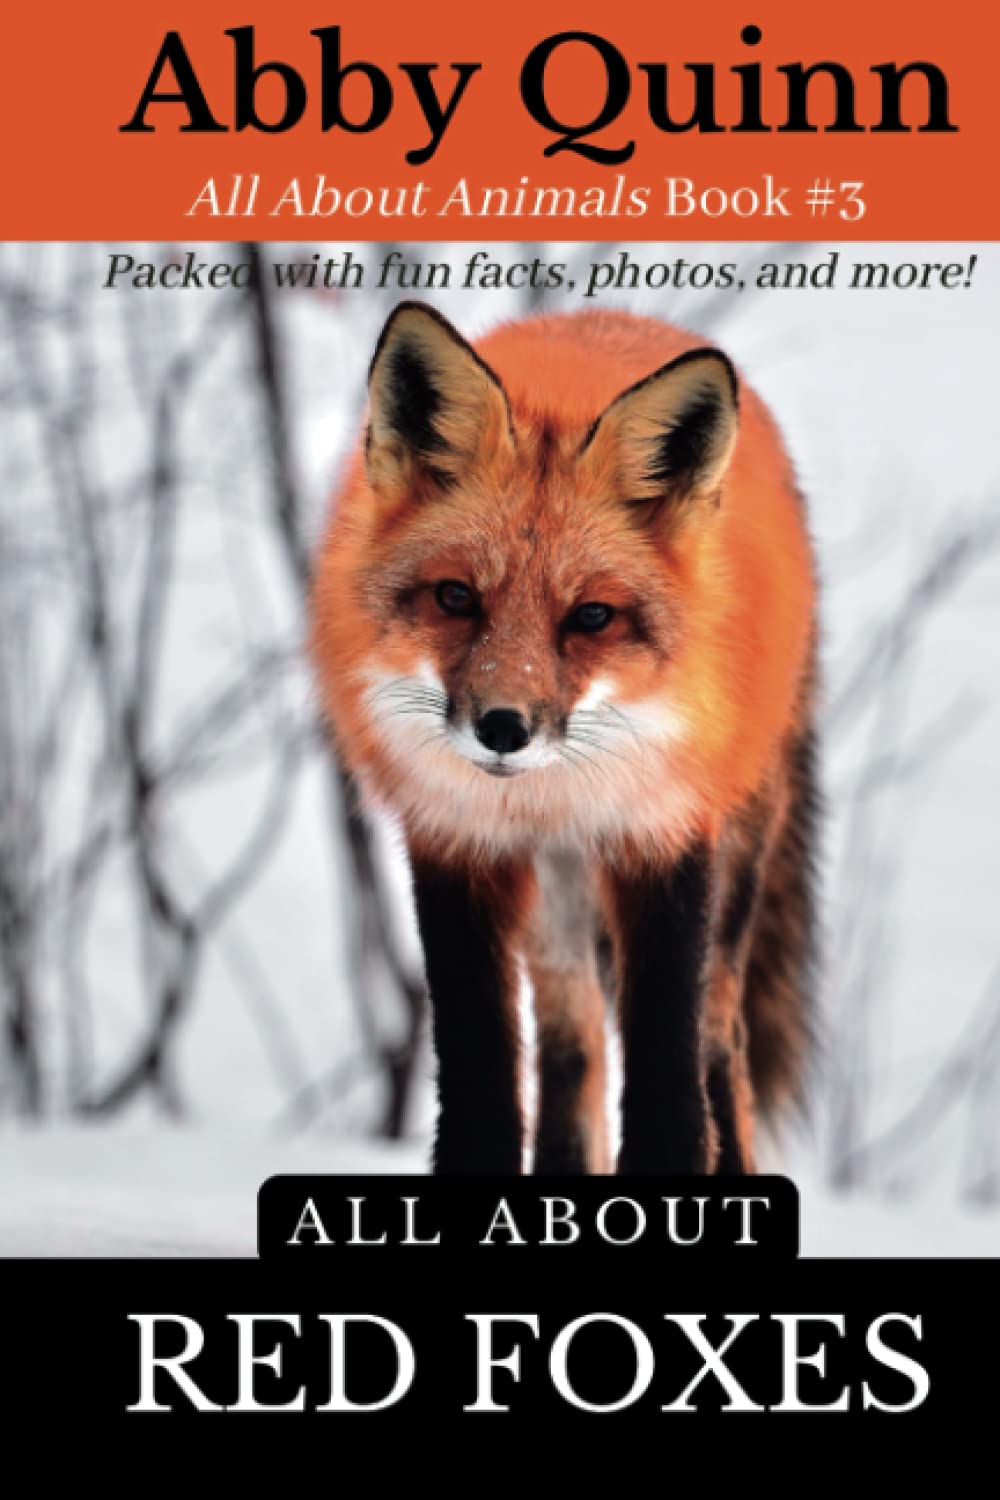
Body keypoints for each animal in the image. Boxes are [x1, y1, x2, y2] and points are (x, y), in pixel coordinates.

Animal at [310, 301, 818, 1176]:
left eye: (590, 617)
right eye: (456, 597)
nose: (502, 728)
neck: (552, 791)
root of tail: (614, 314)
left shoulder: (664, 840)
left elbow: (671, 1091)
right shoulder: (456, 846)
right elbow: (481, 1088)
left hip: (733, 867)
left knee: (721, 1045)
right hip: (555, 907)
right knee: (571, 1049)